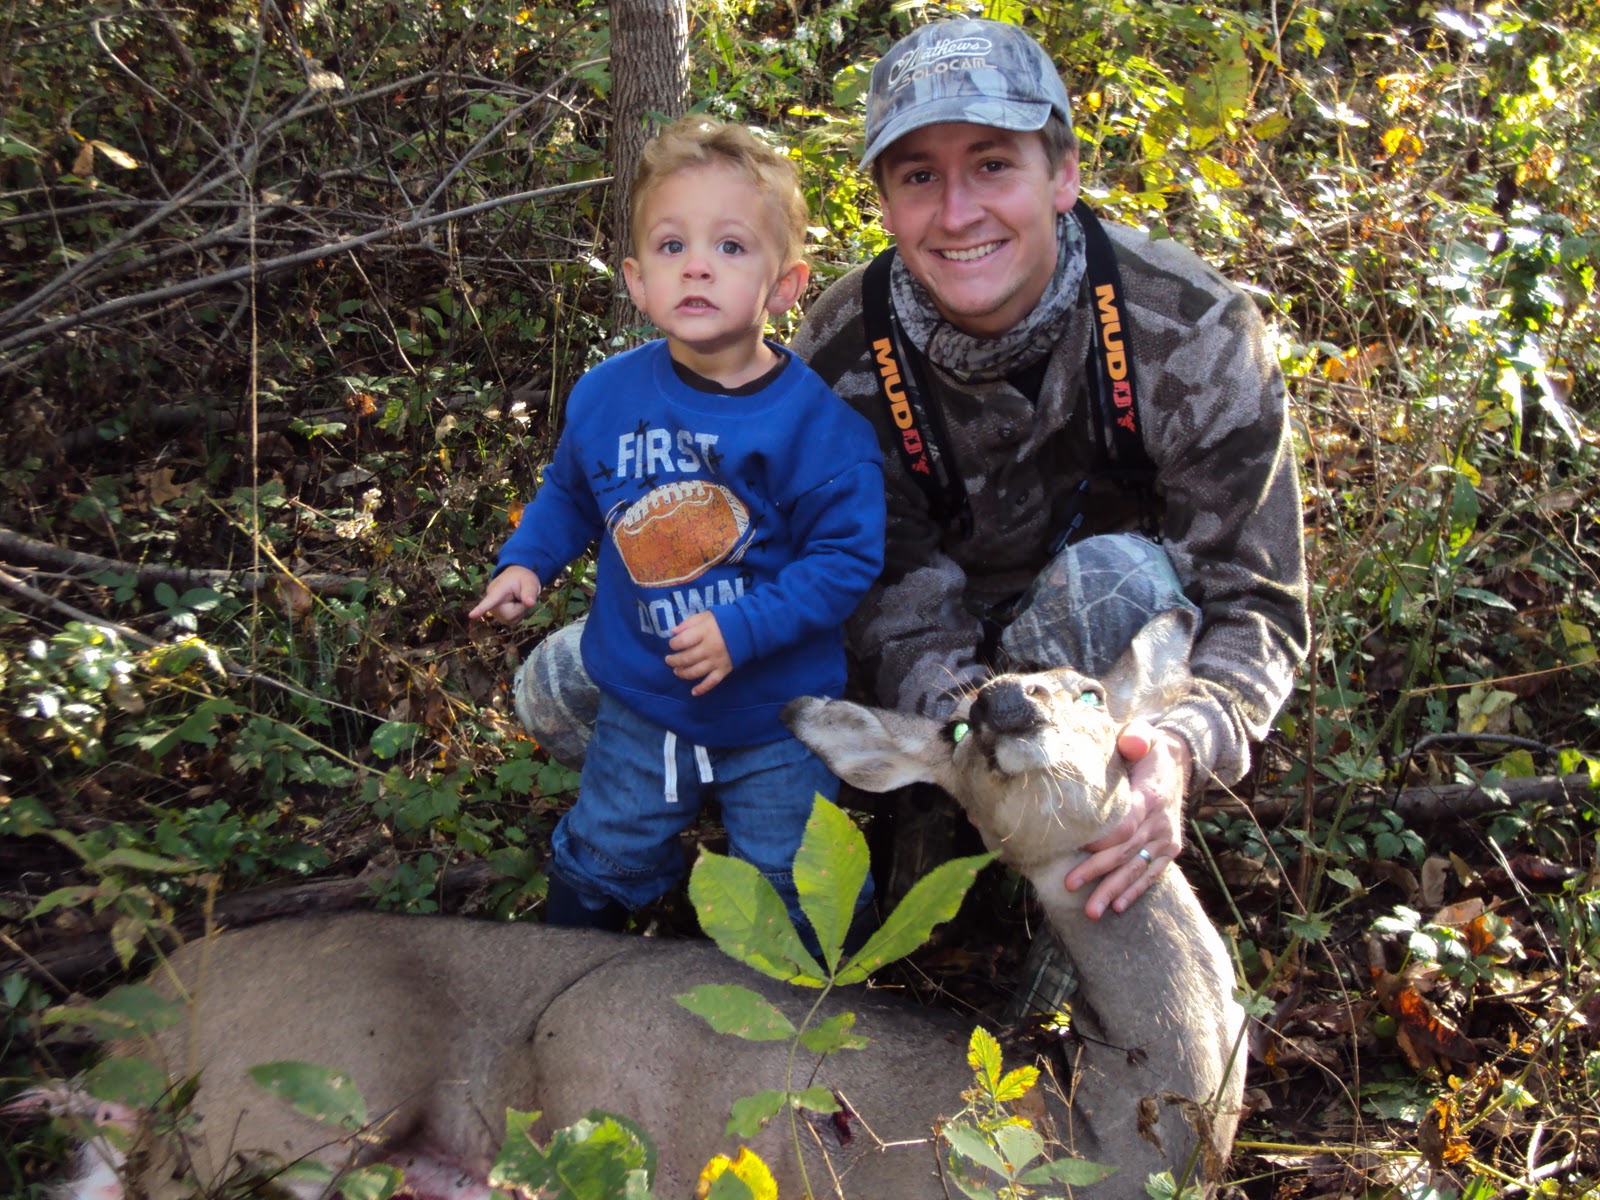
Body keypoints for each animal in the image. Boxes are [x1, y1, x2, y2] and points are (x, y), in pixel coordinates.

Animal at [11, 608, 1244, 1200]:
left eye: (1091, 692)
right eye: (953, 734)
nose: (999, 707)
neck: (1102, 1141)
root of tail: (124, 1022)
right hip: (297, 1093)